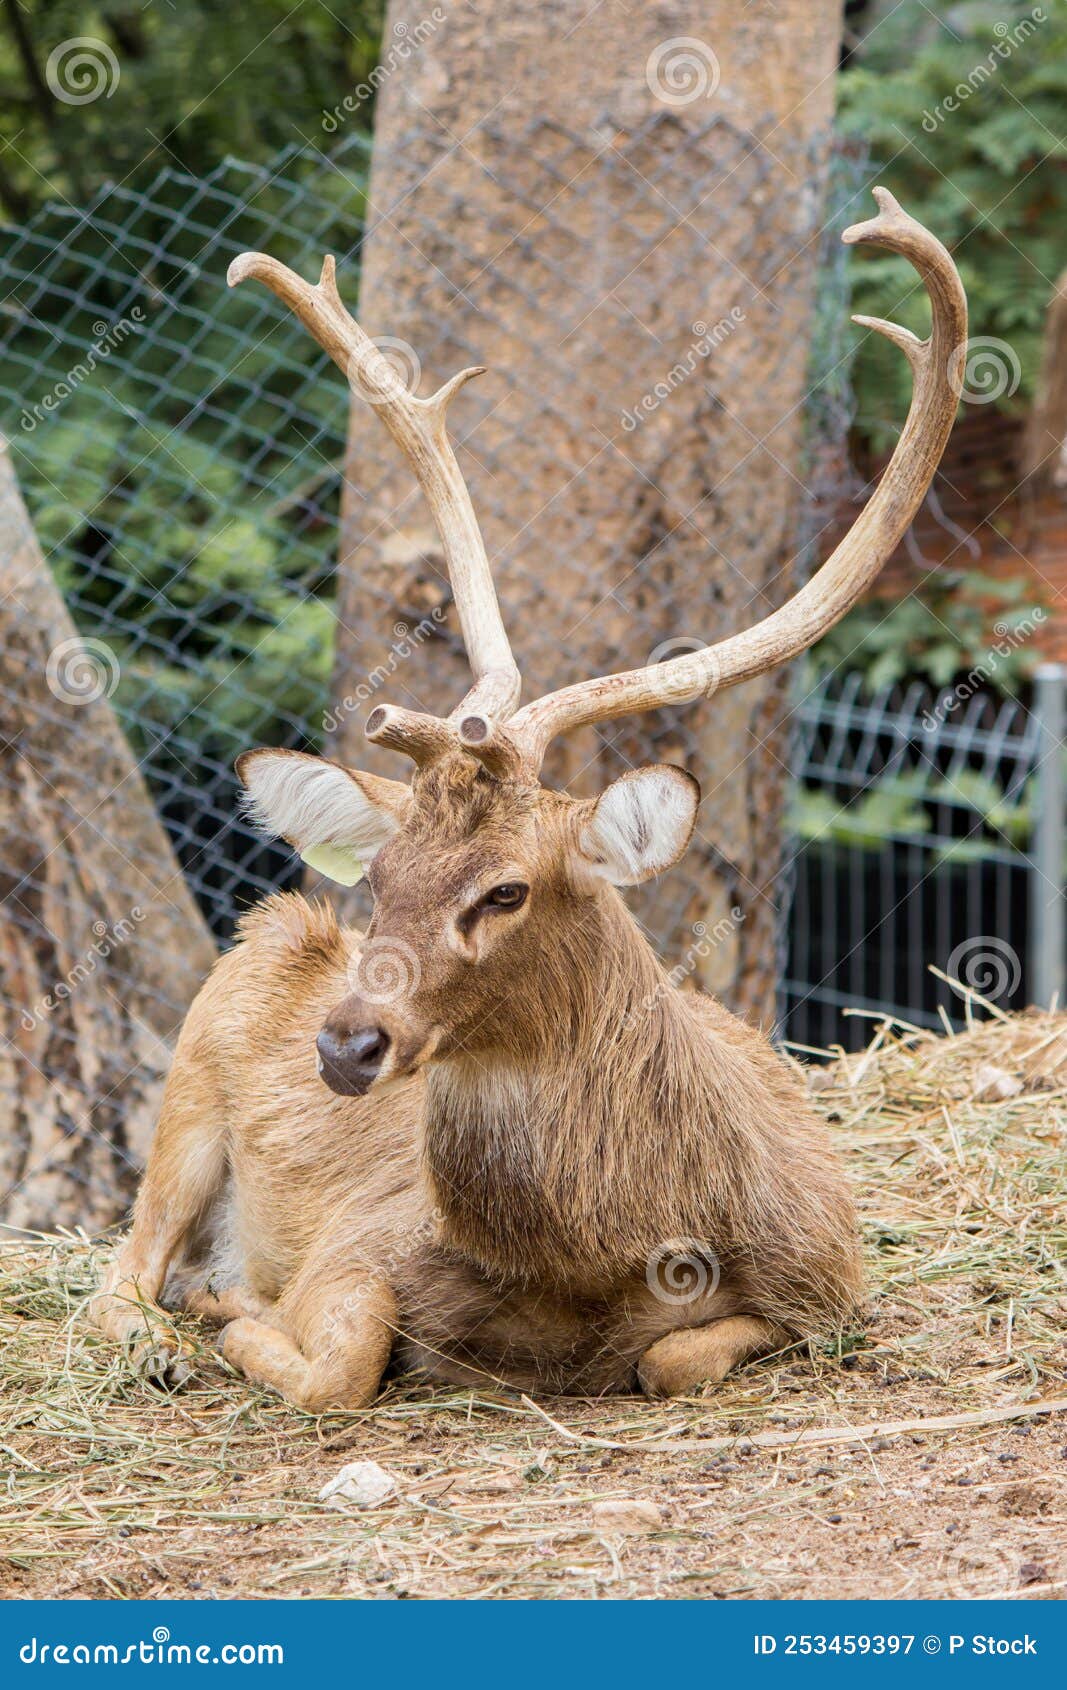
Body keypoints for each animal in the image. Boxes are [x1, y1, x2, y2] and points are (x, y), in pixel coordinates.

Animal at [92, 189, 966, 1411]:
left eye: (505, 891)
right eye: (381, 880)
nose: (344, 1045)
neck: (616, 1255)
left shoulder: (828, 1280)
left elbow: (682, 1356)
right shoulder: (356, 1241)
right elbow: (340, 1363)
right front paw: (233, 1313)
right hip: (188, 1081)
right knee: (117, 1273)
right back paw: (172, 1322)